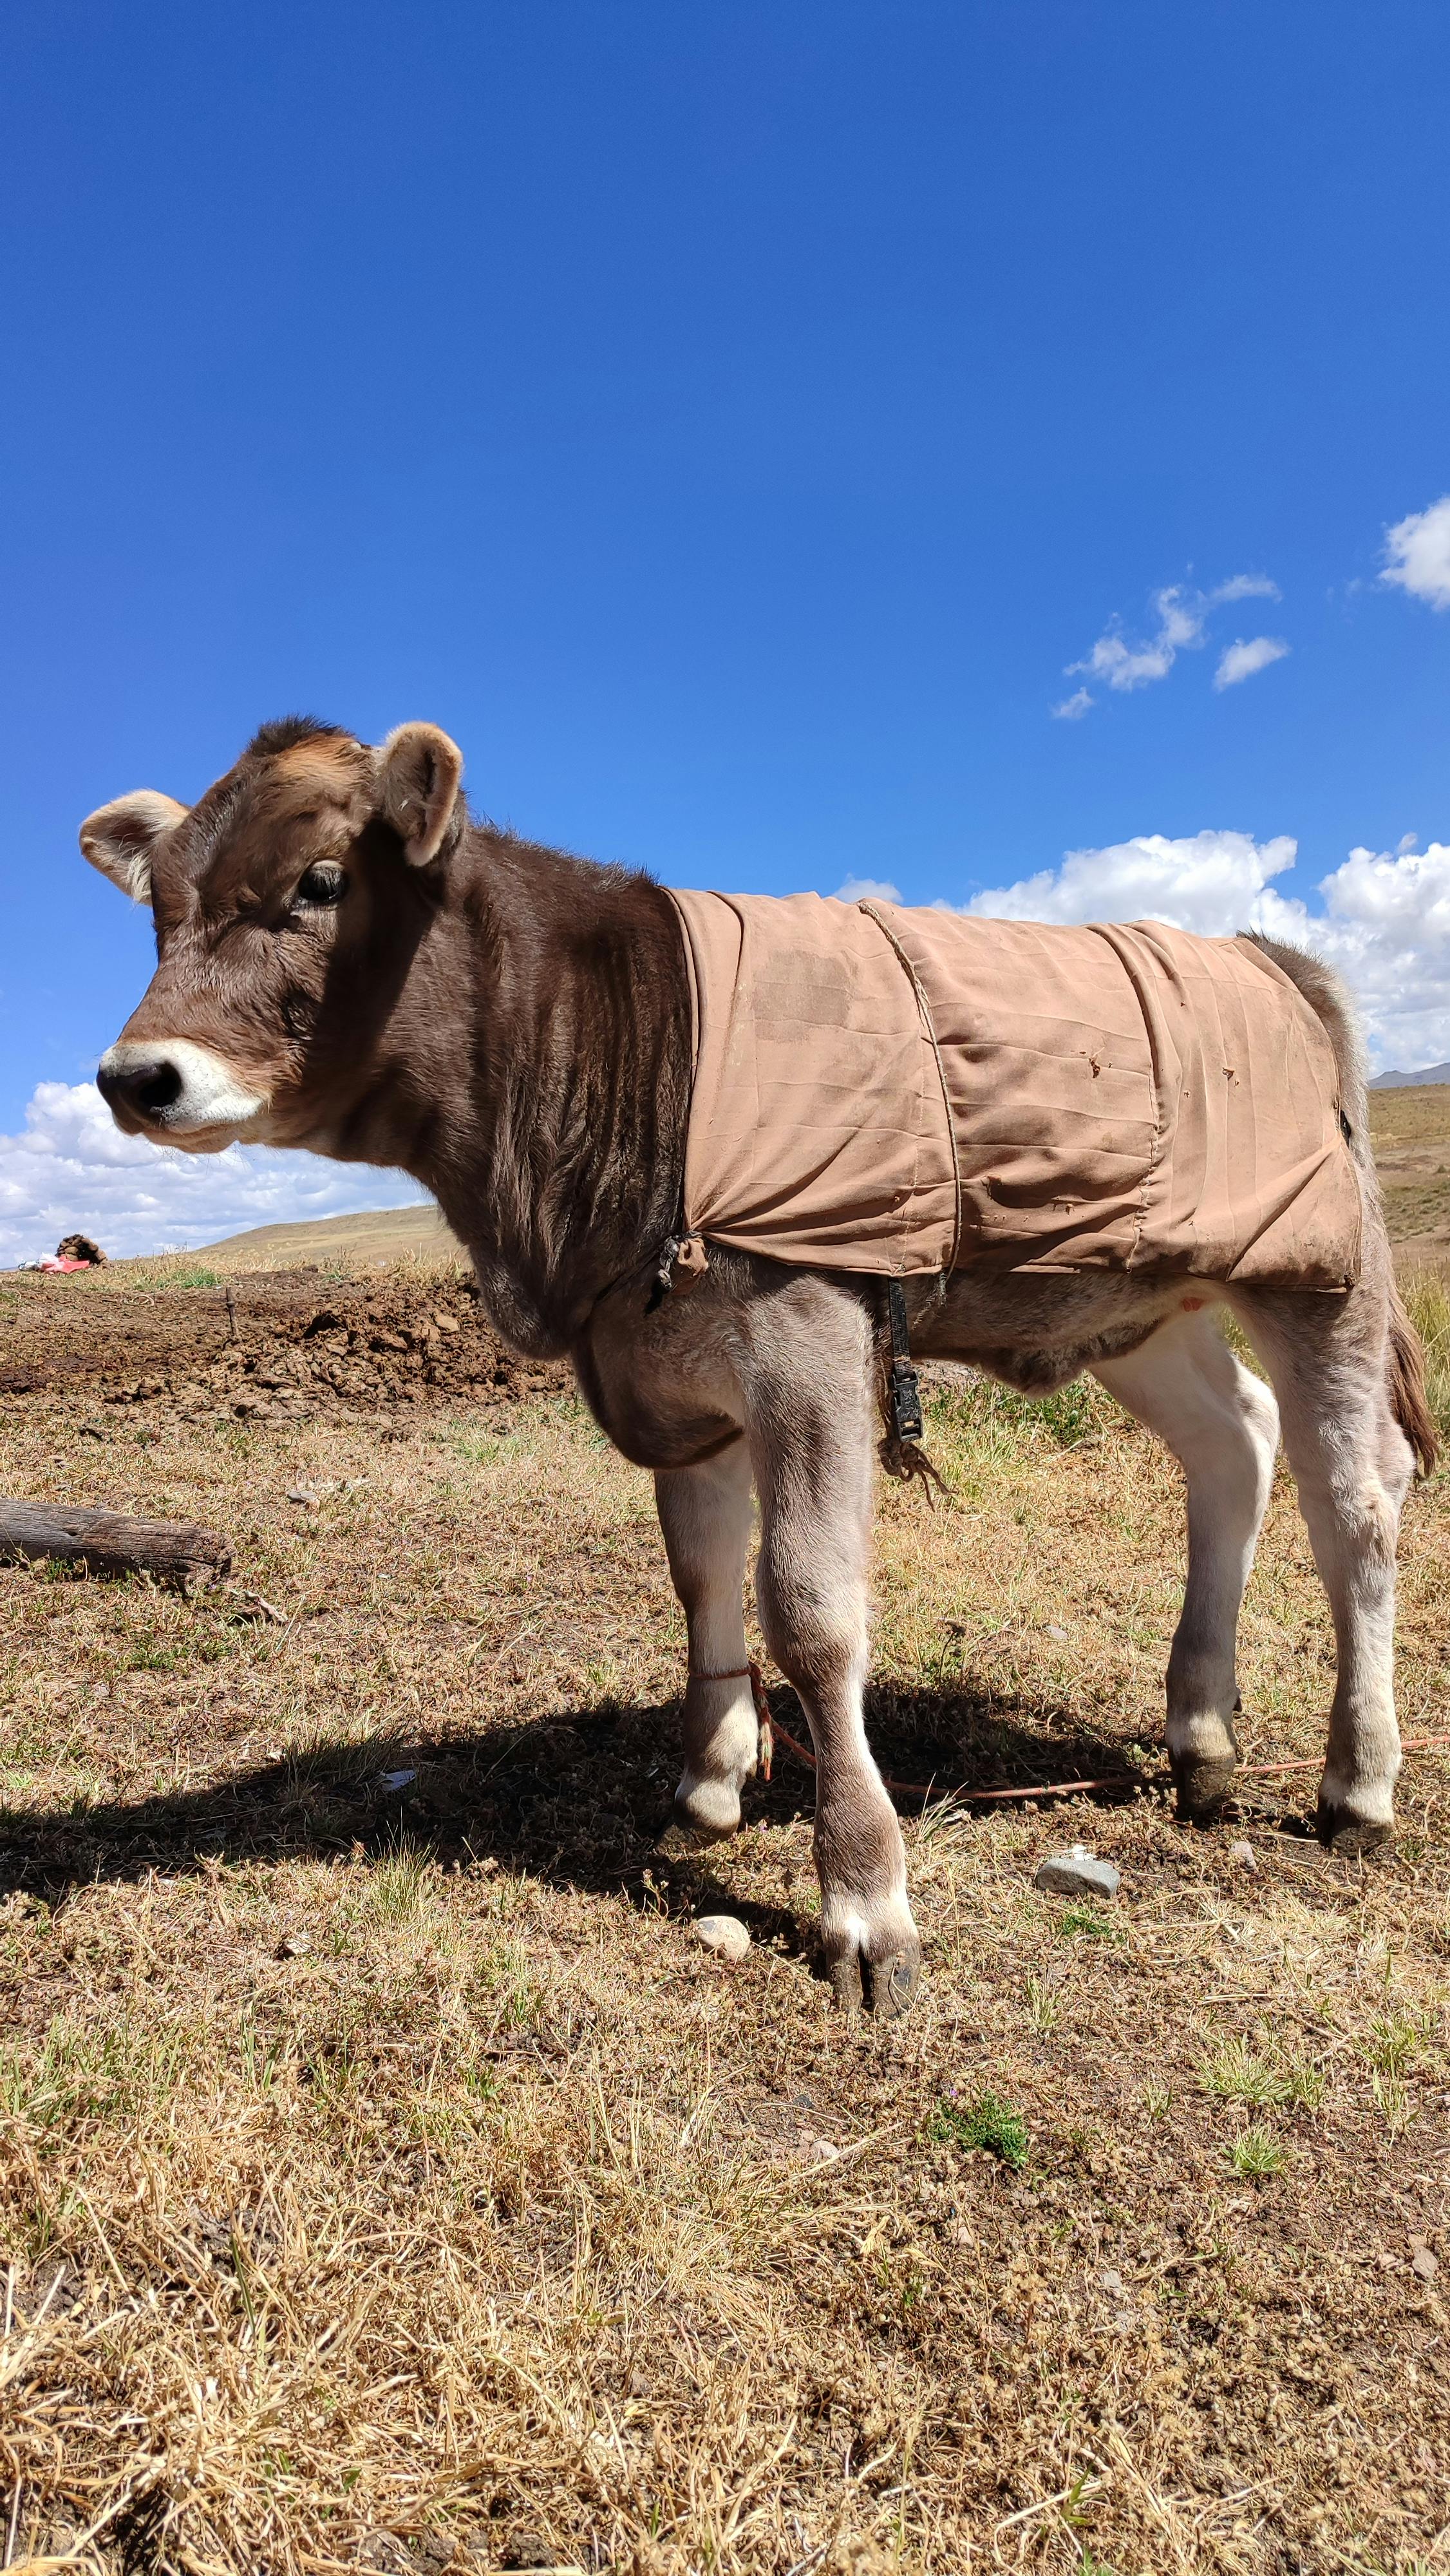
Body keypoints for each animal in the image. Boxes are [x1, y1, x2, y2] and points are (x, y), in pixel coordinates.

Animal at [81, 716, 1437, 2013]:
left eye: (319, 881)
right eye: (161, 910)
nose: (134, 1076)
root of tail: (1265, 953)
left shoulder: (807, 1343)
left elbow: (811, 1610)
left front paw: (863, 1901)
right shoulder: (665, 1367)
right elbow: (698, 1574)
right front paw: (712, 1777)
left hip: (1320, 1275)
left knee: (1355, 1497)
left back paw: (1356, 1781)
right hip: (1138, 1302)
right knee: (1233, 1442)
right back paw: (1200, 1739)